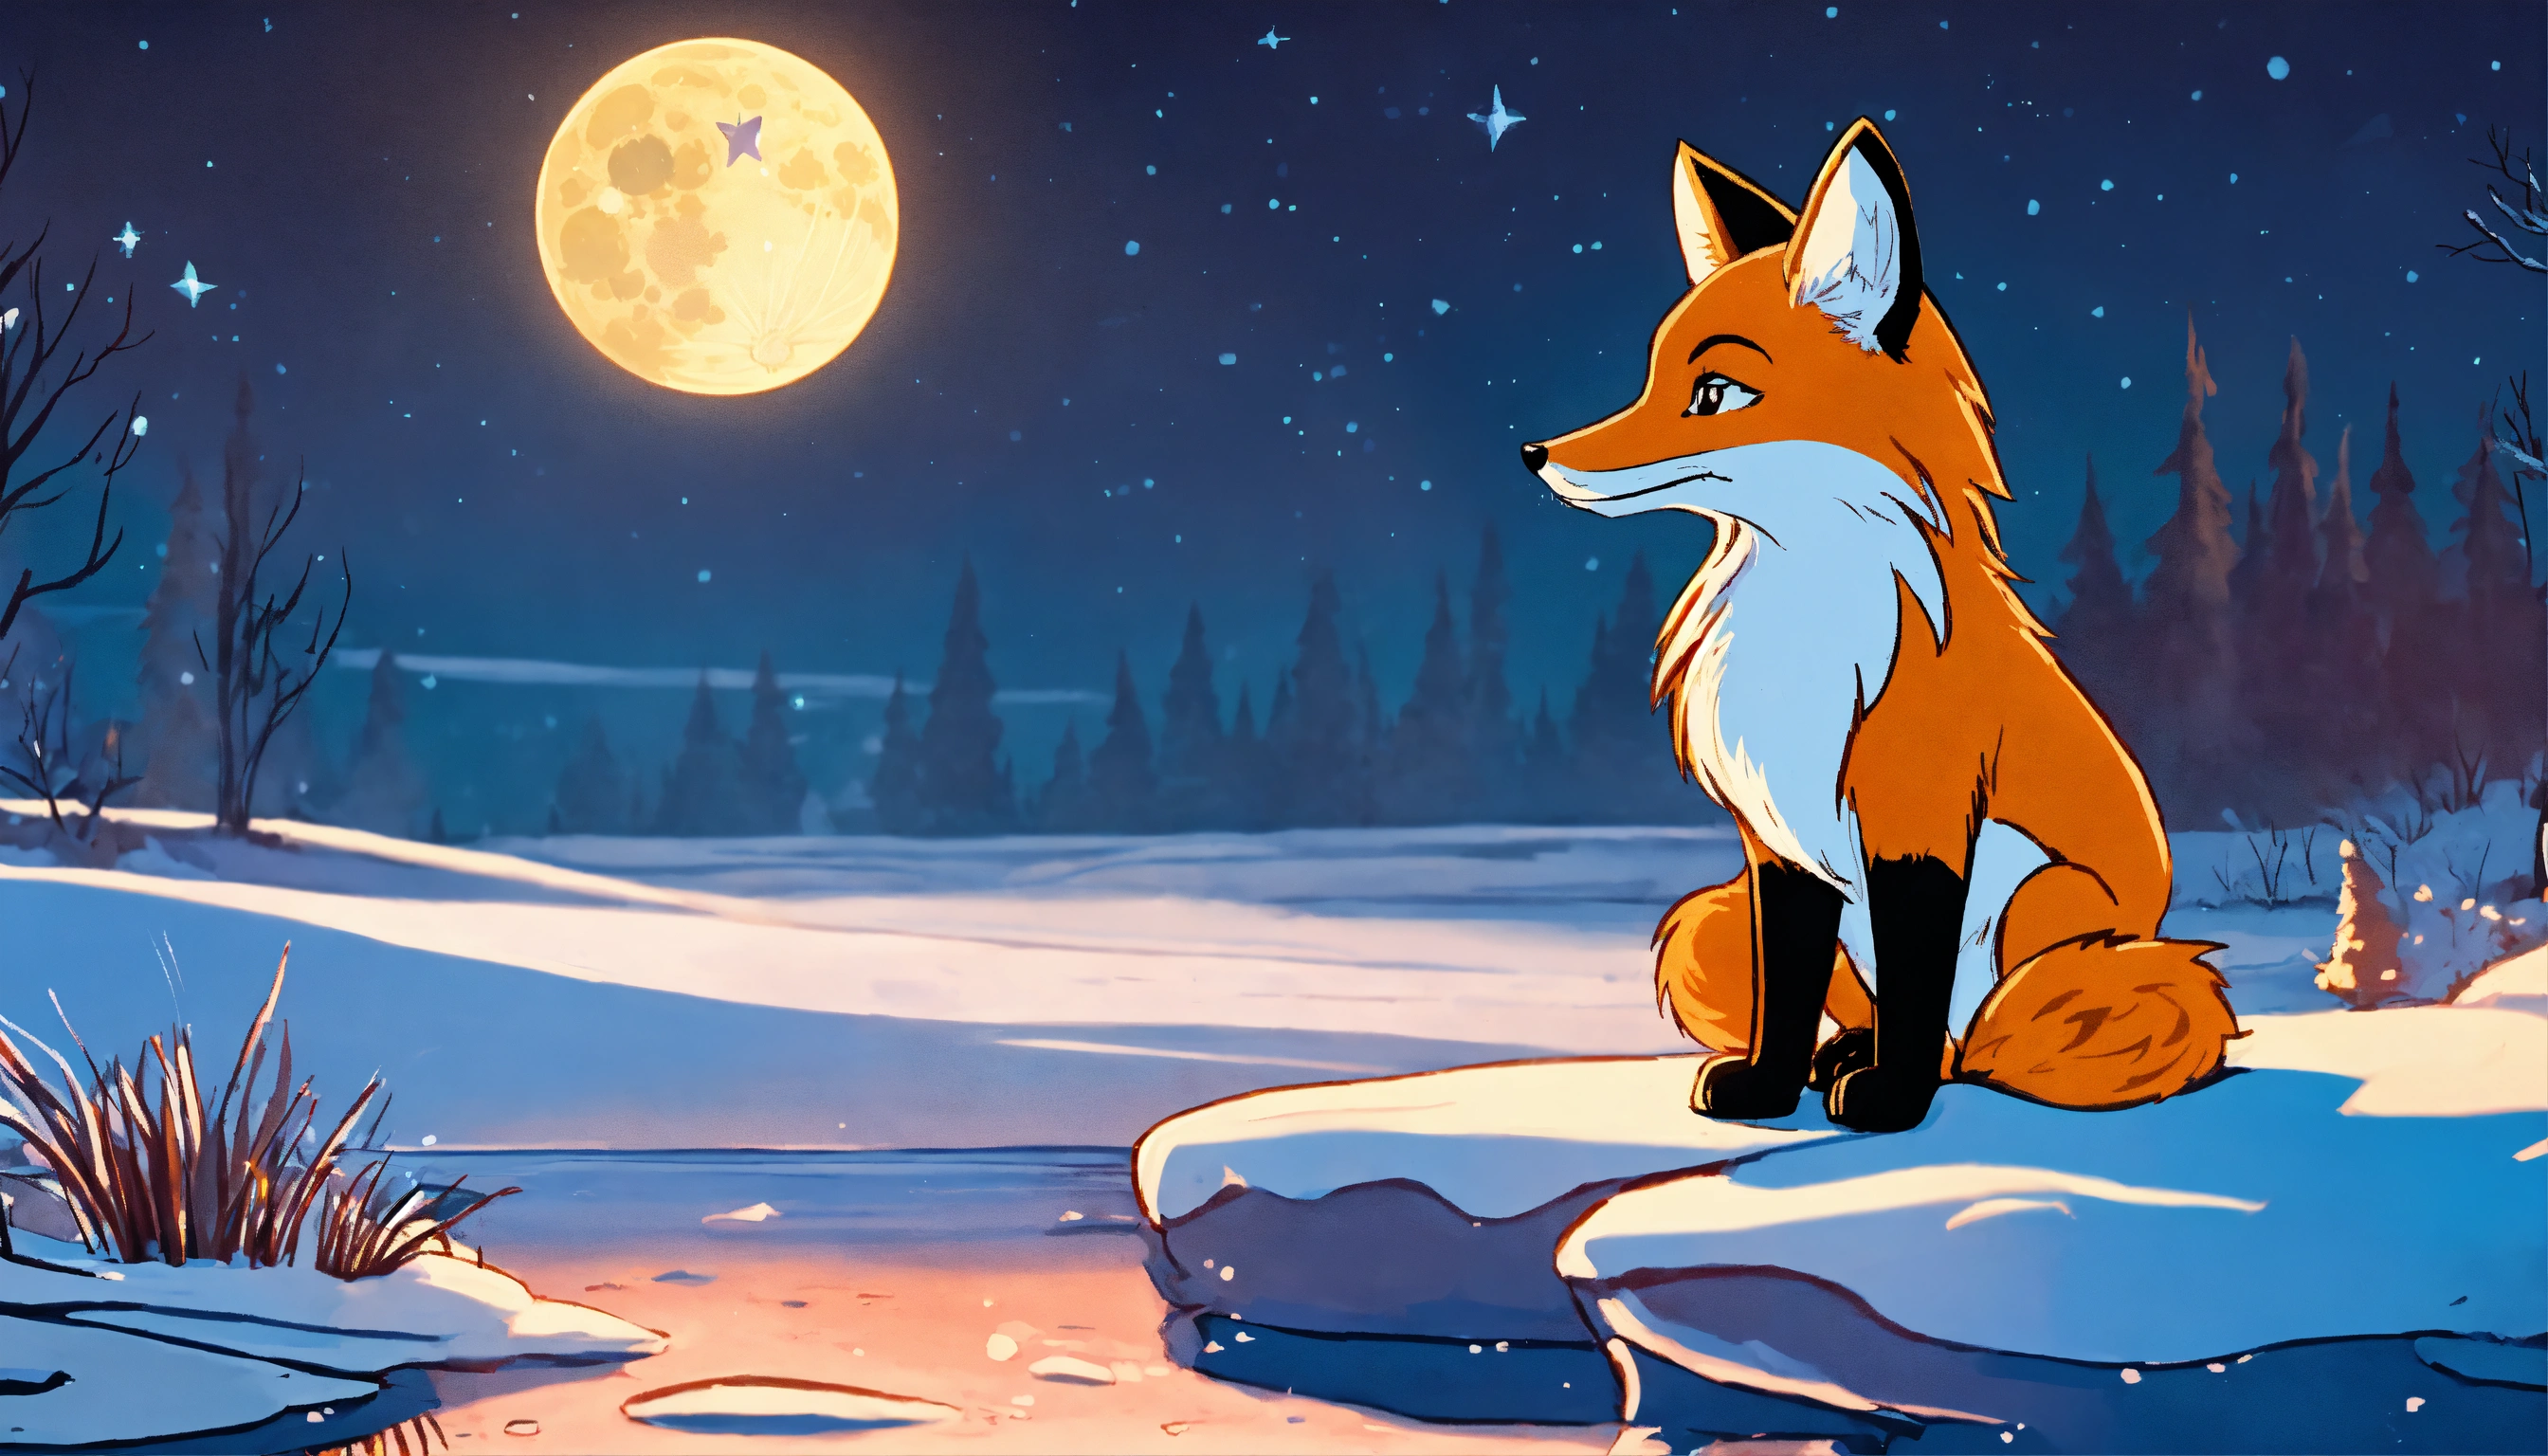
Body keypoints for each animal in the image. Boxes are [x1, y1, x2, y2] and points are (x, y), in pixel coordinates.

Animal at [1521, 119, 2240, 1133]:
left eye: (1714, 394)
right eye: (1652, 380)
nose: (1535, 453)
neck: (1806, 621)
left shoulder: (1919, 818)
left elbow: (1916, 976)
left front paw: (1894, 1103)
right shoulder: (1778, 847)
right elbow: (1786, 989)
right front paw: (1766, 1087)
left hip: (2041, 898)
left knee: (1976, 1033)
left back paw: (1919, 1070)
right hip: (1730, 912)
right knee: (1916, 1025)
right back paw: (1846, 1059)